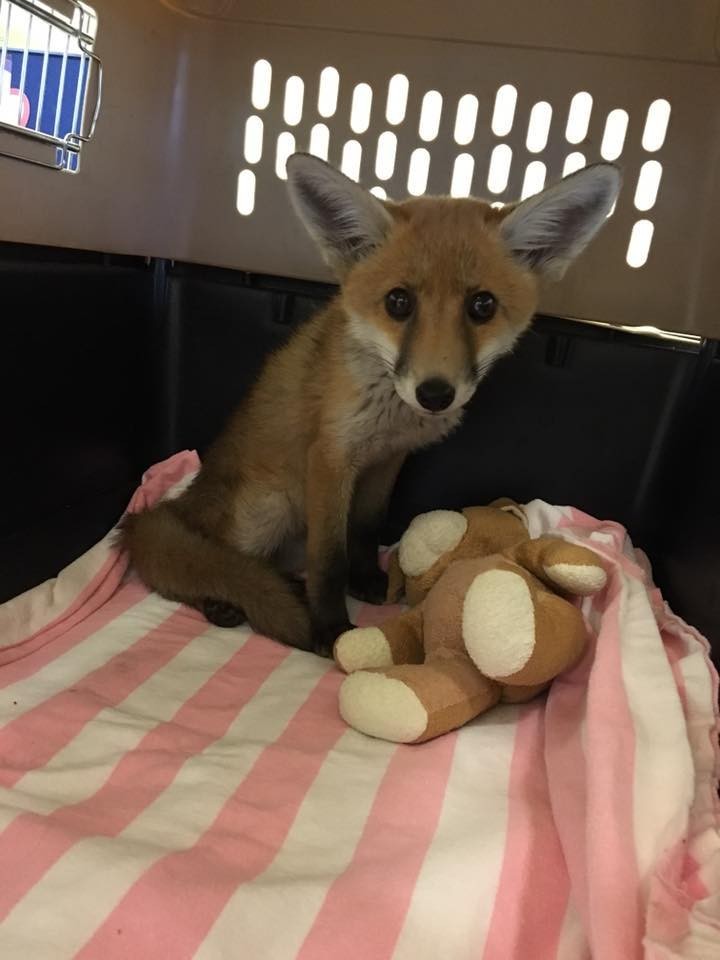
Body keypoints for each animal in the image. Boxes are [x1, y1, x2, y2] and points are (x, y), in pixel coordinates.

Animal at [120, 152, 621, 656]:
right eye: (399, 302)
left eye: (482, 306)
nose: (434, 394)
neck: (390, 414)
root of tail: (170, 507)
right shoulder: (330, 458)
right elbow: (328, 559)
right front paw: (330, 628)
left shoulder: (386, 461)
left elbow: (364, 529)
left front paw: (366, 582)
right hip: (269, 507)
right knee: (211, 565)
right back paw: (222, 602)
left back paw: (284, 586)